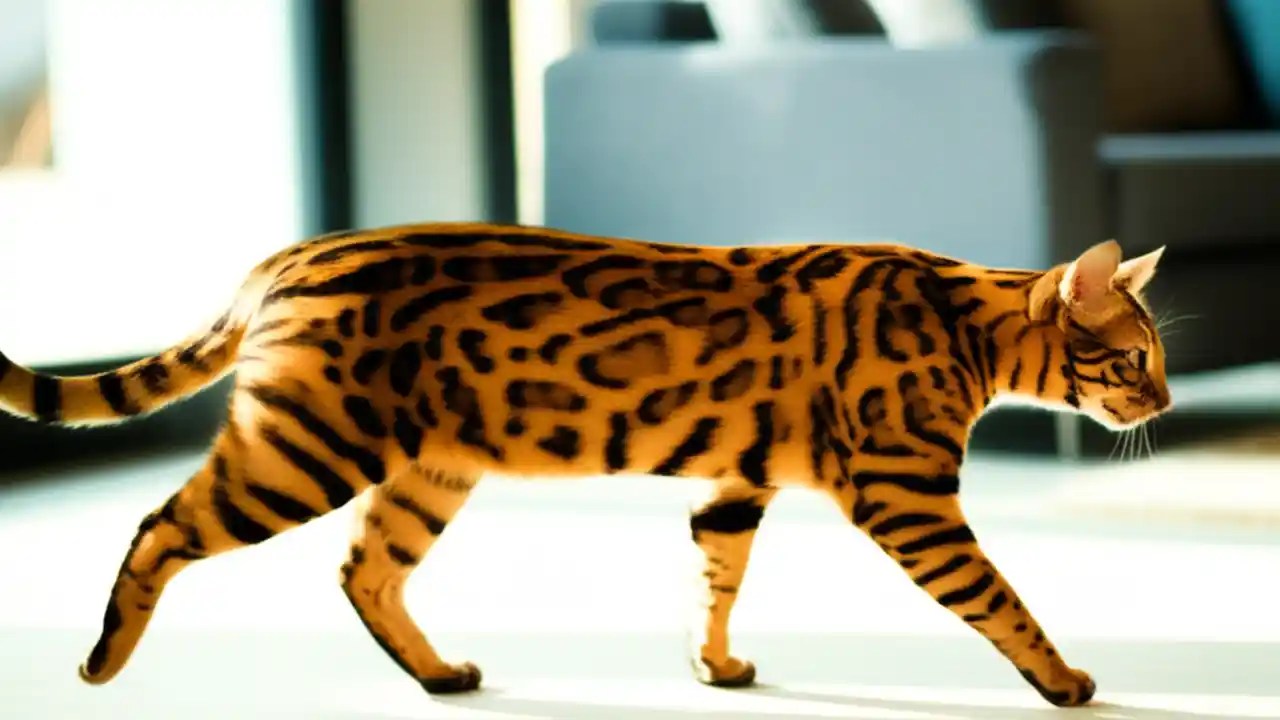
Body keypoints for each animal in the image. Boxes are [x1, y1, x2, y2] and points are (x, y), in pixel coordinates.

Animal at [0, 222, 1171, 707]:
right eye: (1134, 359)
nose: (1163, 401)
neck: (963, 319)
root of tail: (281, 257)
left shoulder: (734, 488)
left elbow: (713, 577)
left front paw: (713, 665)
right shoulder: (907, 499)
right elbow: (1003, 600)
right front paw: (1063, 681)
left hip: (428, 469)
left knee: (364, 571)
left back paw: (437, 674)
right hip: (303, 450)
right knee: (160, 529)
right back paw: (101, 661)